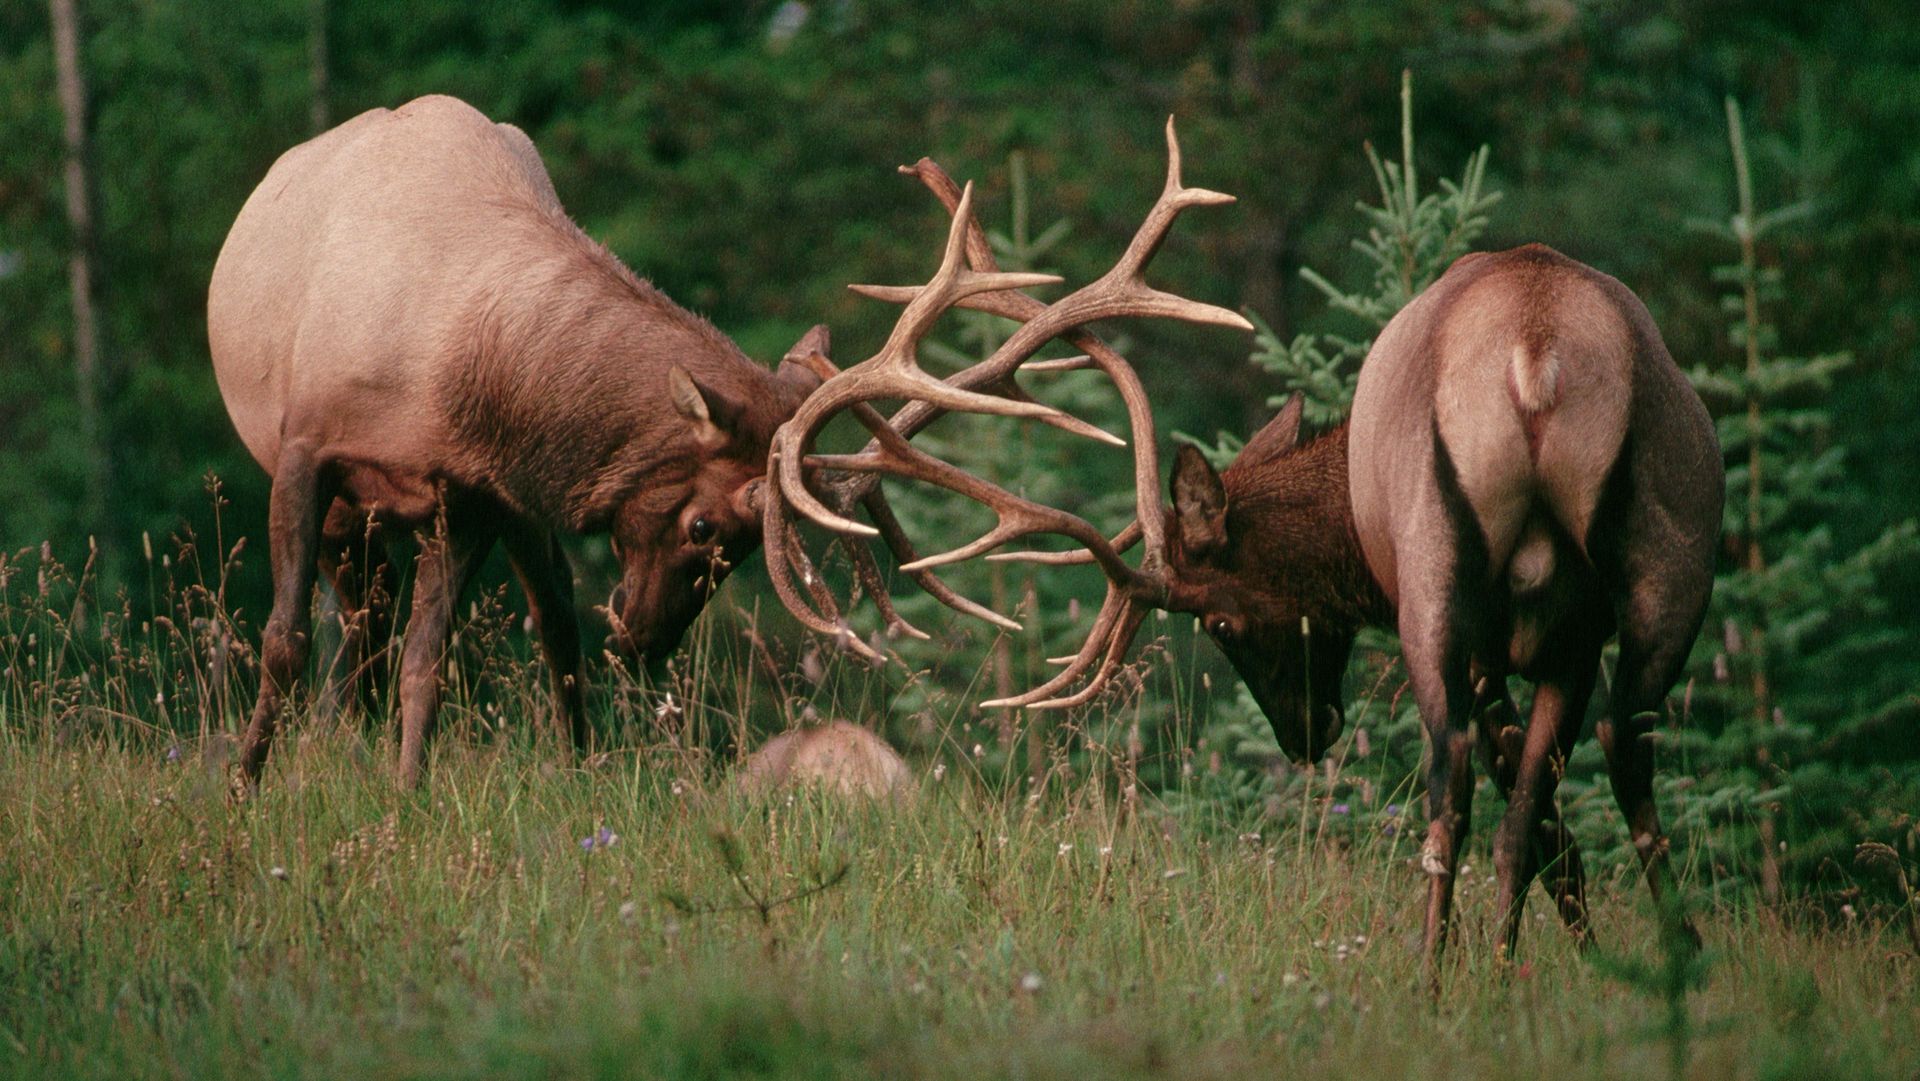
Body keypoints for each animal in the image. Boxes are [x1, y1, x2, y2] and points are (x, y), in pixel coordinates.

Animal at [208, 95, 830, 790]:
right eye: (704, 527)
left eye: (748, 550)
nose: (645, 642)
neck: (436, 374)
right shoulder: (305, 449)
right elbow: (283, 641)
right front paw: (243, 787)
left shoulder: (474, 494)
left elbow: (427, 664)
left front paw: (405, 791)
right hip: (346, 503)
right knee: (369, 605)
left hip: (509, 504)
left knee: (541, 606)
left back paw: (565, 764)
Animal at [758, 130, 1722, 983]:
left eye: (1218, 620)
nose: (1307, 735)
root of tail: (1535, 350)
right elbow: (1540, 804)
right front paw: (1575, 952)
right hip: (1629, 568)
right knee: (1600, 746)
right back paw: (1638, 956)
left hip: (1476, 576)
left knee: (1484, 766)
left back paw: (1458, 975)